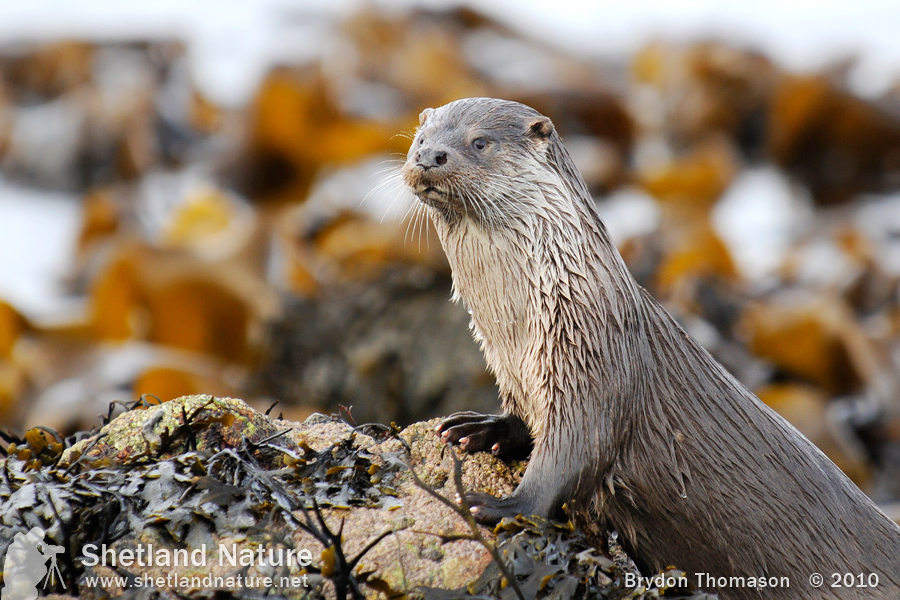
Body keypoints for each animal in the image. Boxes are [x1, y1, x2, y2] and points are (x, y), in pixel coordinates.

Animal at [400, 97, 900, 599]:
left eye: (480, 142)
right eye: (421, 138)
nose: (429, 157)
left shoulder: (596, 361)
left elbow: (573, 454)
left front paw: (503, 507)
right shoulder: (521, 368)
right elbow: (523, 420)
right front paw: (480, 428)